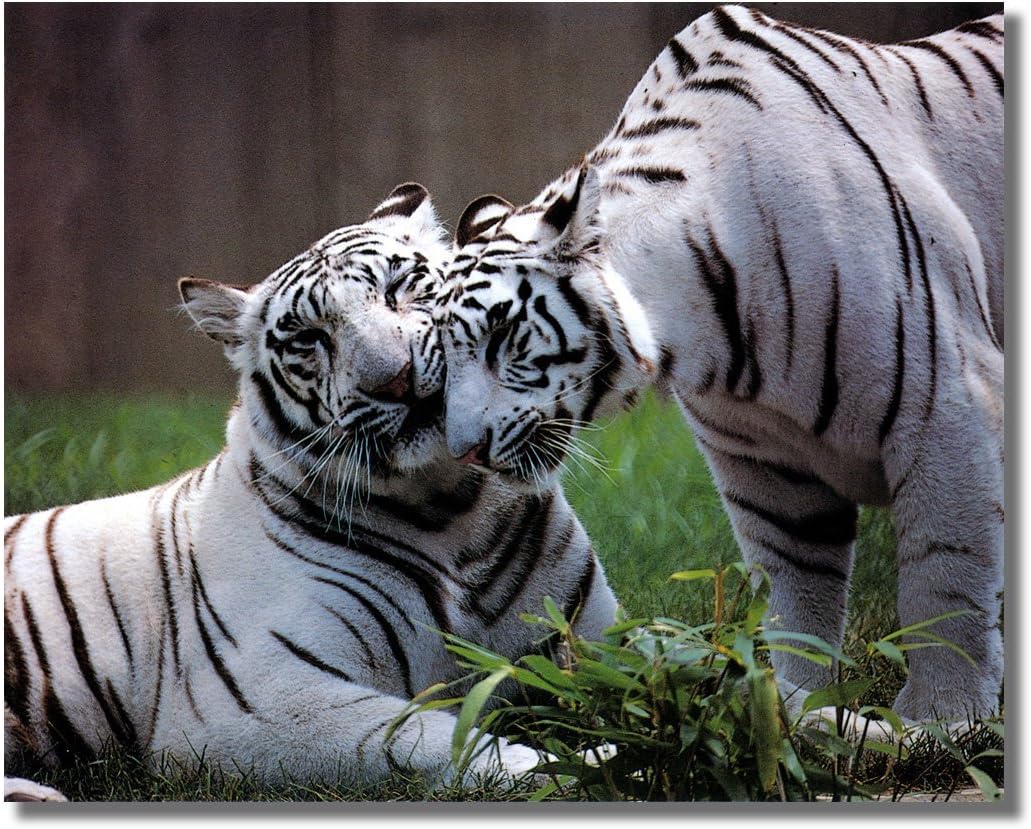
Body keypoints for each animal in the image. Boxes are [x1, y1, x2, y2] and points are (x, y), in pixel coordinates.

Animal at [3, 183, 617, 801]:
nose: (394, 377)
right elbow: (428, 736)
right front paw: (591, 766)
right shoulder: (247, 701)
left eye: (400, 286)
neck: (449, 512)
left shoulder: (589, 633)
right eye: (309, 338)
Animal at [436, 4, 1004, 730]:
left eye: (503, 336)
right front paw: (794, 709)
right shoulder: (765, 466)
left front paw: (942, 718)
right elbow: (796, 593)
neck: (708, 329)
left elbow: (945, 573)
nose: (466, 452)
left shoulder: (947, 402)